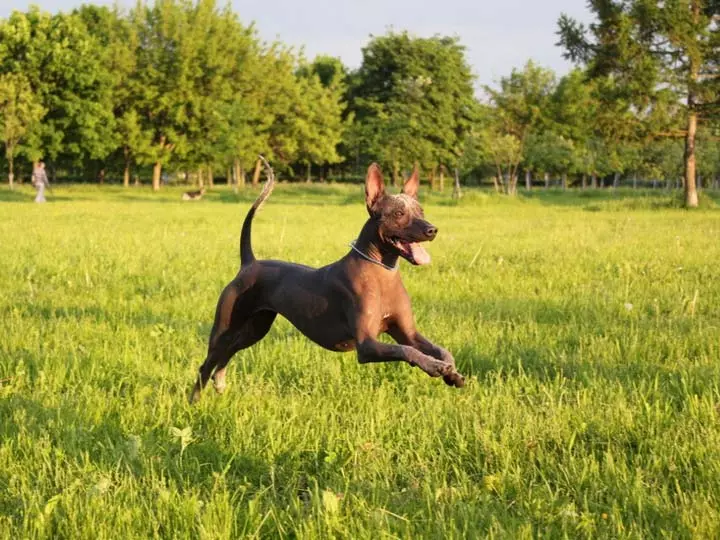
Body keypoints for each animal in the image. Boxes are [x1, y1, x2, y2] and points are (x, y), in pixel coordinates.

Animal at [188, 159, 464, 400]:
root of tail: (249, 263)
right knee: (207, 364)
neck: (381, 271)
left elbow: (440, 349)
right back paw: (195, 403)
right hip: (224, 329)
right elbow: (406, 351)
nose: (432, 230)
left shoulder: (408, 332)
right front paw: (435, 367)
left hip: (255, 328)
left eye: (421, 211)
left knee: (228, 353)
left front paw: (451, 372)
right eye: (398, 213)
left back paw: (220, 382)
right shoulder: (367, 345)